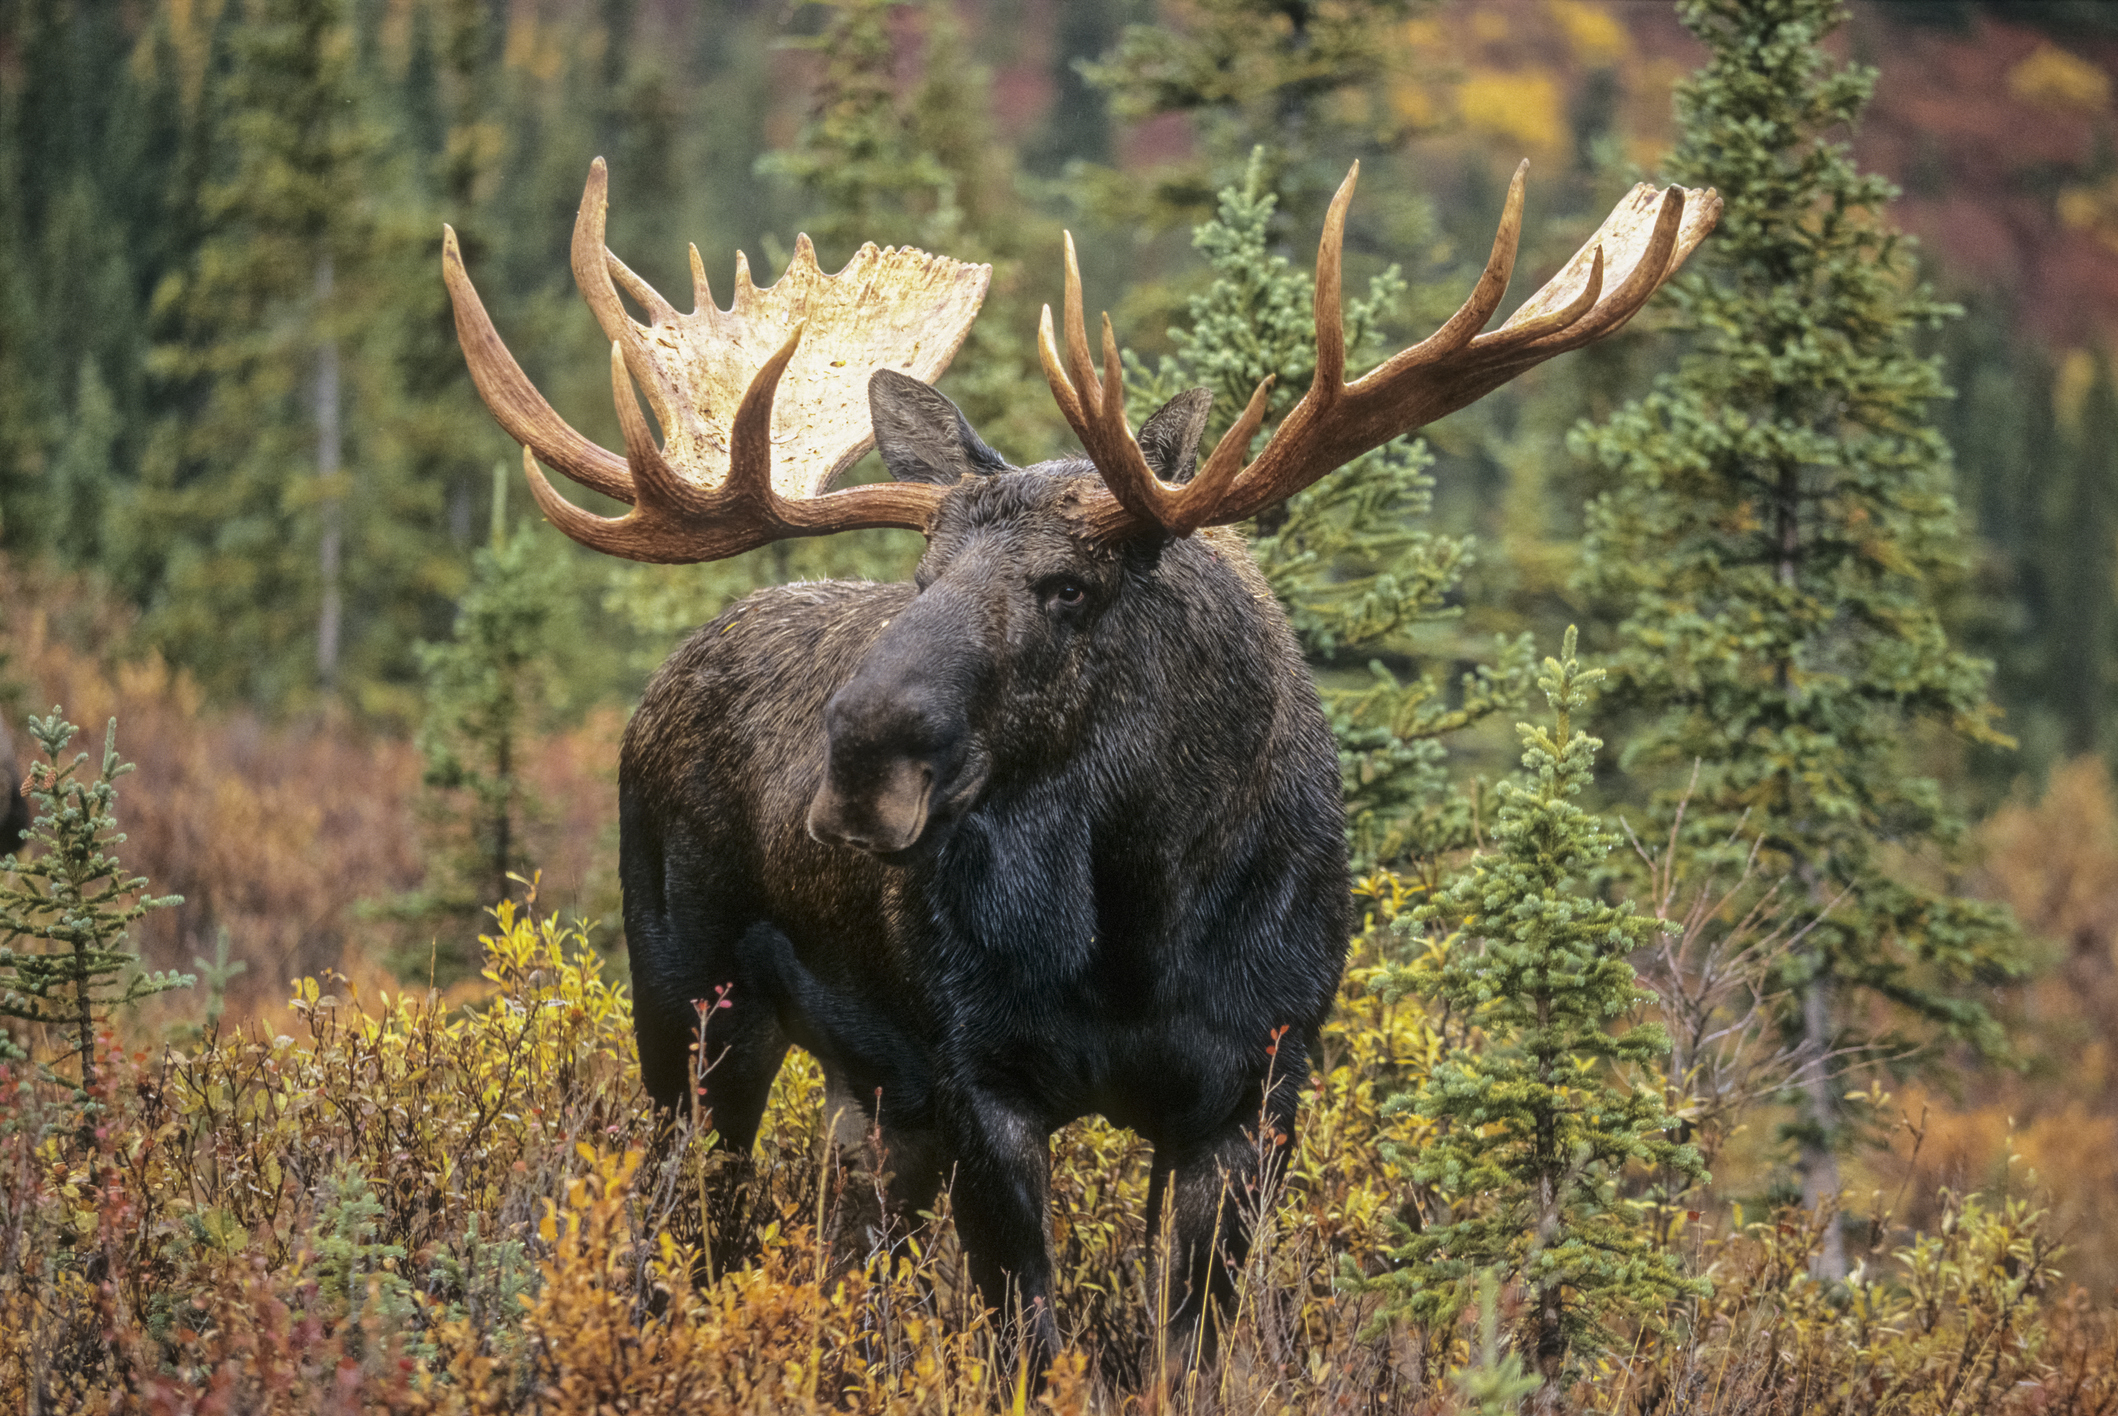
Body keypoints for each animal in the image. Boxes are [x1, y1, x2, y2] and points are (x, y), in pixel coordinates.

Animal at [441, 156, 1717, 1362]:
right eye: (921, 576)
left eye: (1069, 587)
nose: (855, 766)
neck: (1141, 918)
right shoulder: (979, 1079)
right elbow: (1029, 1340)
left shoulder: (1259, 1086)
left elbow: (1182, 1350)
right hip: (690, 1005)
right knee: (682, 1233)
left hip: (873, 1091)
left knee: (838, 1257)